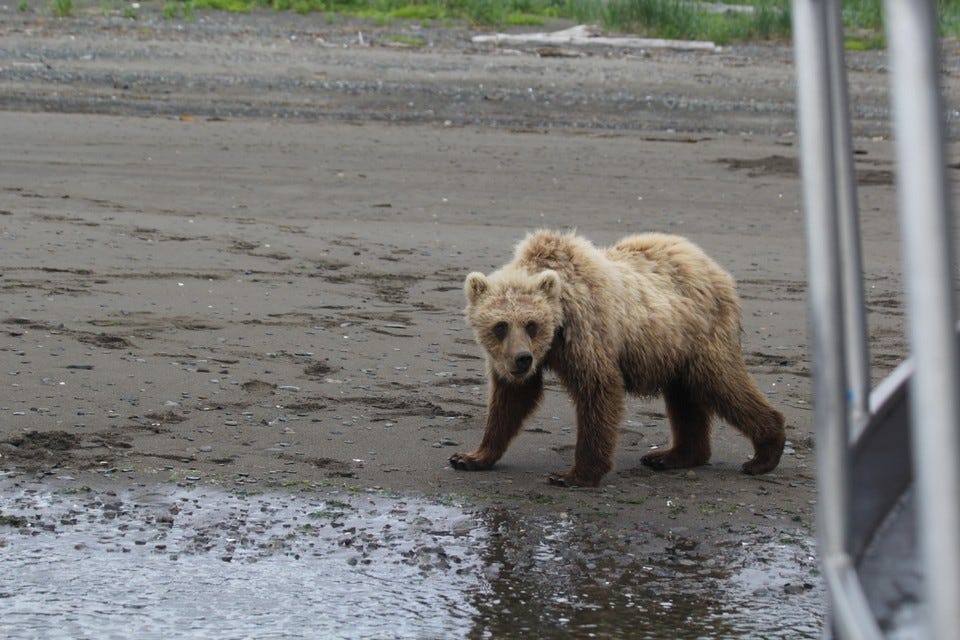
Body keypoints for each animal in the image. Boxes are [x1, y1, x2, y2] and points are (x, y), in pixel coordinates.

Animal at [449, 229, 786, 487]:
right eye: (500, 325)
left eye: (531, 324)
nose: (522, 359)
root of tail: (711, 264)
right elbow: (512, 399)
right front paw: (470, 457)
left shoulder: (586, 333)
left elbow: (598, 391)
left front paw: (573, 475)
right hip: (673, 348)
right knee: (684, 398)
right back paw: (672, 455)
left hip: (702, 336)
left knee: (722, 383)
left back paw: (763, 454)